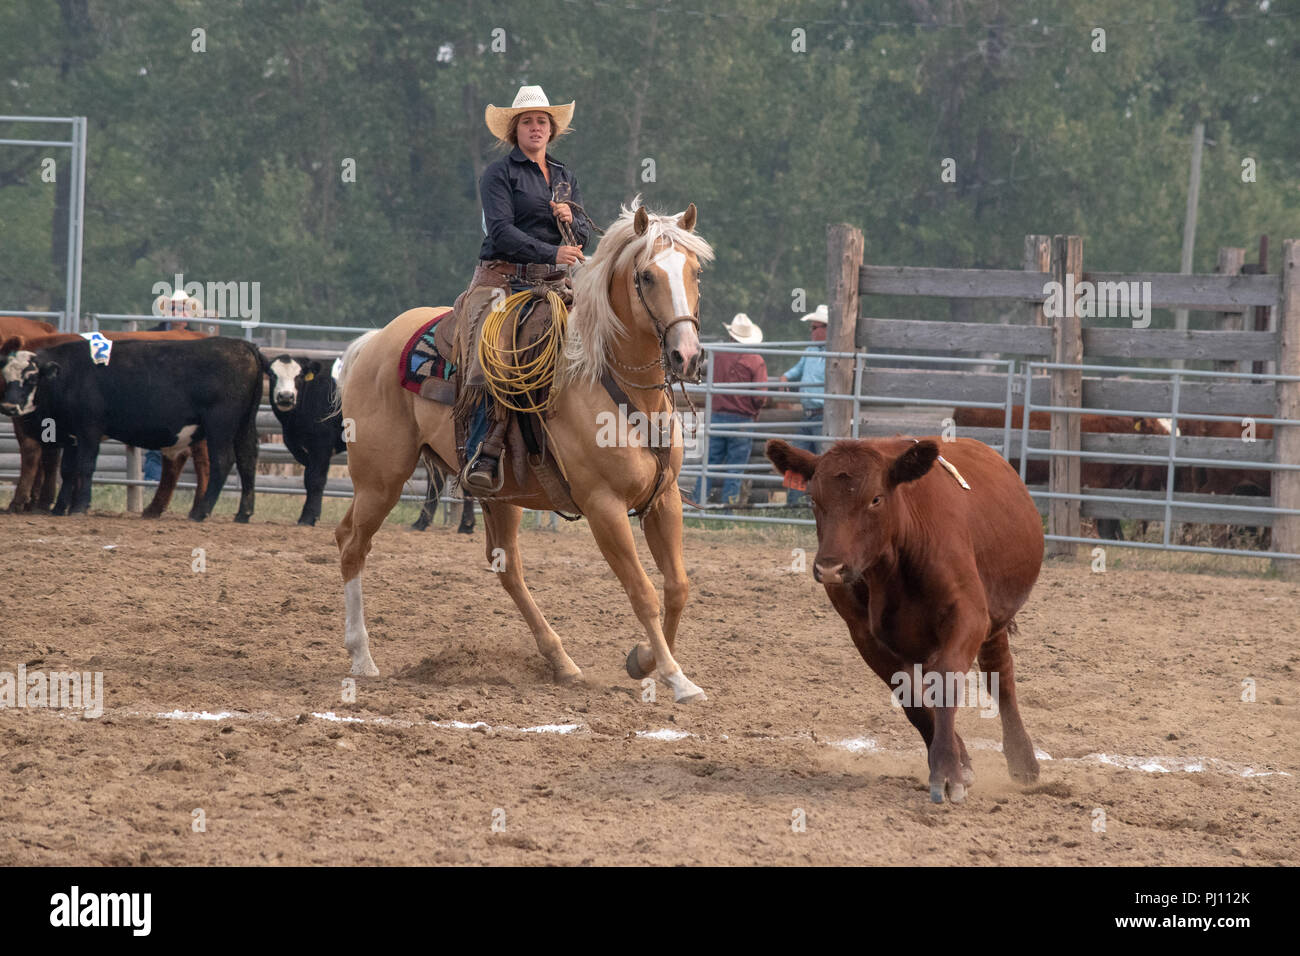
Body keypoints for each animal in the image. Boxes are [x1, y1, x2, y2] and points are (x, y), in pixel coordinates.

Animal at [0, 336, 262, 521]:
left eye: (32, 378)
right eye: (5, 377)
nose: (9, 406)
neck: (70, 375)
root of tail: (243, 345)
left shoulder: (89, 430)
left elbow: (85, 467)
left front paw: (79, 507)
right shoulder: (73, 435)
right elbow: (68, 470)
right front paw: (60, 508)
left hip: (220, 426)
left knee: (223, 461)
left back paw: (200, 512)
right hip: (244, 425)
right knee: (247, 461)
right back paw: (243, 514)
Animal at [767, 436, 1043, 804]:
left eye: (875, 499)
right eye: (814, 498)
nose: (830, 568)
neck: (892, 564)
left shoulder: (969, 616)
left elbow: (948, 681)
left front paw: (948, 771)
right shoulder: (864, 636)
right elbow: (912, 701)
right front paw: (959, 763)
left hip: (995, 618)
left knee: (1001, 676)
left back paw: (1023, 761)